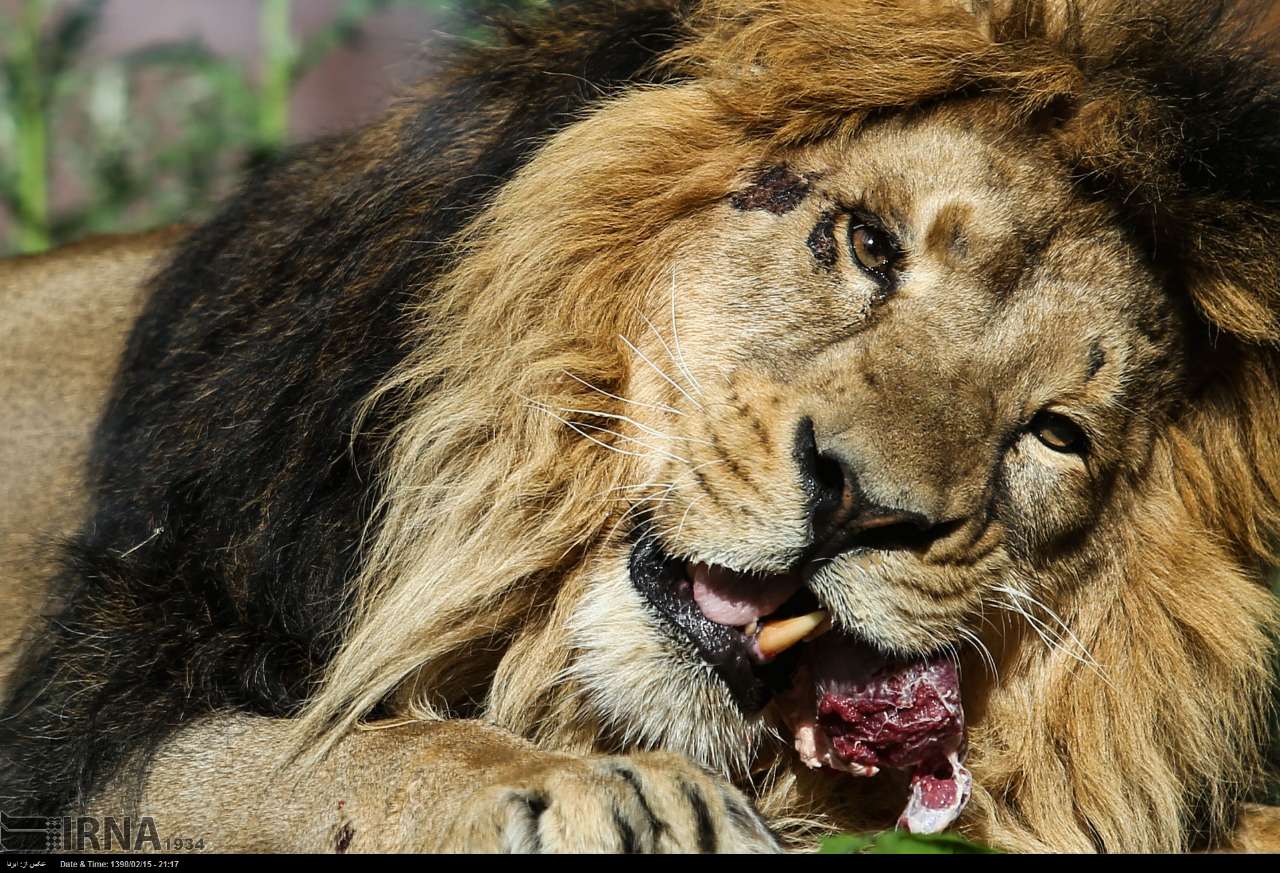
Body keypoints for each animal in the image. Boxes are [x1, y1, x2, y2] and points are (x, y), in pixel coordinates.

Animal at [3, 0, 1280, 854]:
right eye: (867, 244)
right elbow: (281, 758)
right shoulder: (94, 701)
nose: (863, 505)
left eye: (1054, 433)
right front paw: (587, 793)